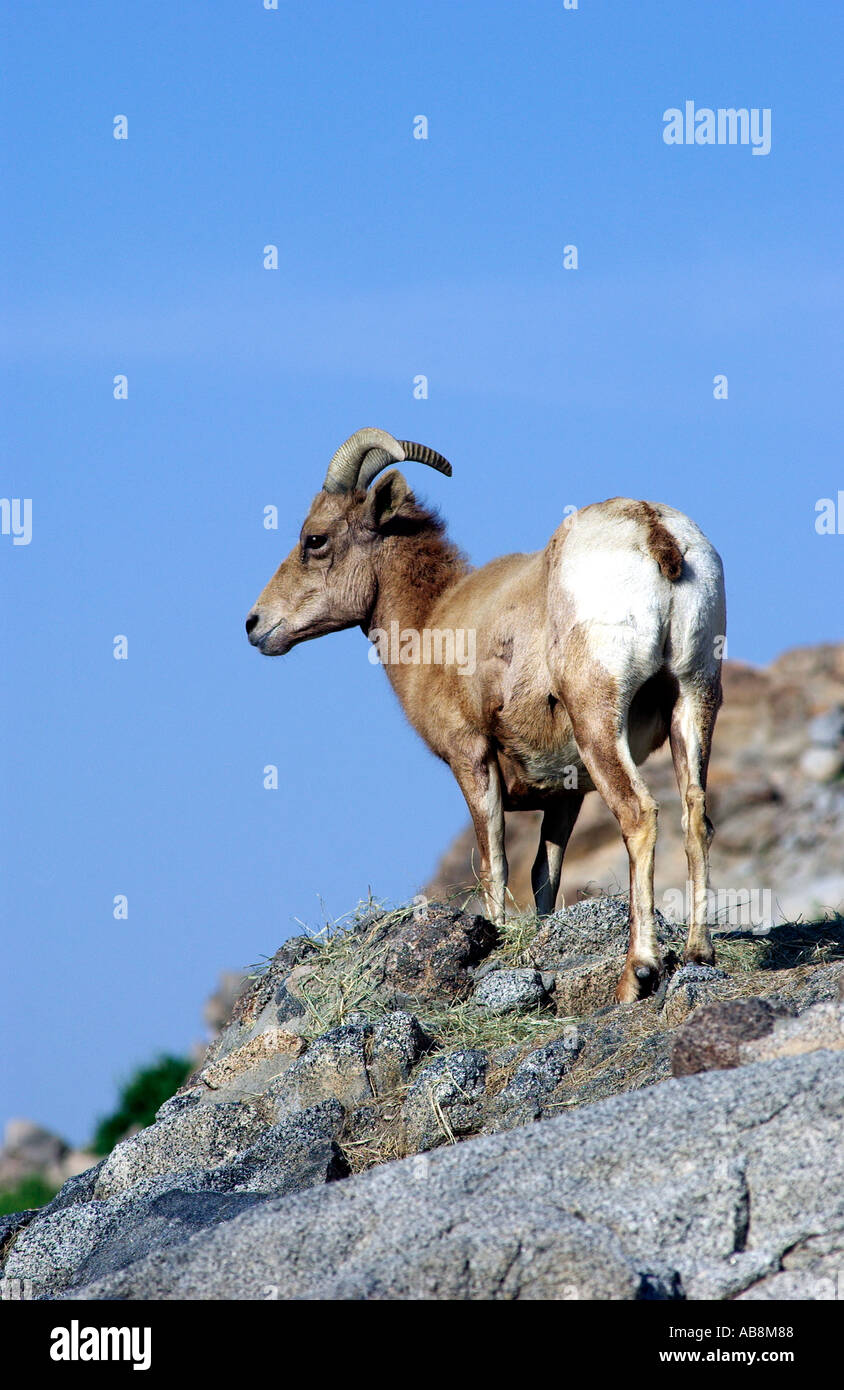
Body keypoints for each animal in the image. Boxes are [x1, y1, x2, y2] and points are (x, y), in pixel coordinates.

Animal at [246, 428, 727, 1002]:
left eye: (314, 539)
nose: (254, 624)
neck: (433, 620)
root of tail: (655, 531)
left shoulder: (471, 758)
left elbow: (493, 858)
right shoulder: (565, 794)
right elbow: (544, 875)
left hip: (598, 720)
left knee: (639, 814)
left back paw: (638, 973)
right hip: (694, 700)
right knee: (696, 816)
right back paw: (699, 953)